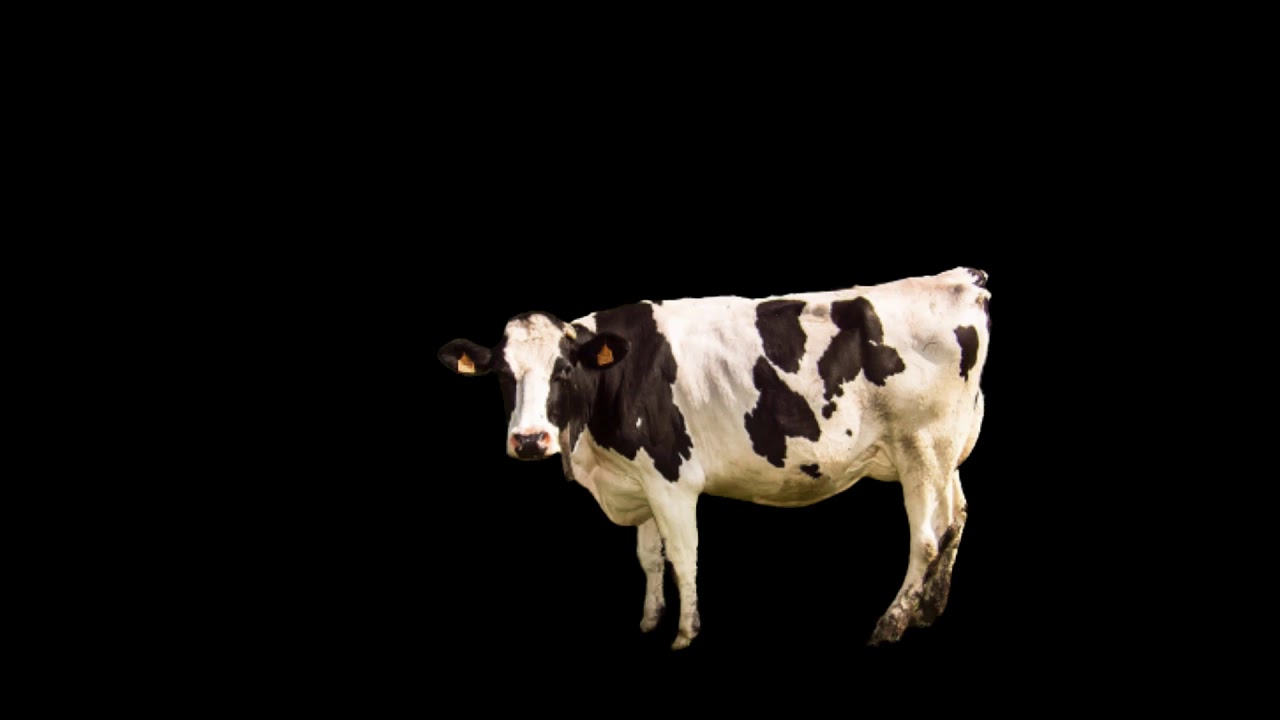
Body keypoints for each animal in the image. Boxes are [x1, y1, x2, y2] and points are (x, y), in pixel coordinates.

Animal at [437, 267, 991, 649]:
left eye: (564, 370)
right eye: (503, 375)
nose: (530, 440)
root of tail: (961, 279)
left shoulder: (671, 478)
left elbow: (683, 556)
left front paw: (684, 633)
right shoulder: (639, 478)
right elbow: (649, 558)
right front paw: (649, 619)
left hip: (922, 446)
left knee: (926, 538)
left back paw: (892, 622)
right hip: (948, 451)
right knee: (956, 519)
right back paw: (929, 609)